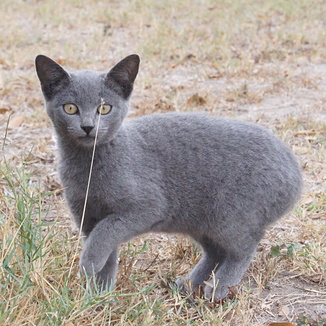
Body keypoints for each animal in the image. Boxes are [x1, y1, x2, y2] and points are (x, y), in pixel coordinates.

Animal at [34, 54, 302, 300]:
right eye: (70, 108)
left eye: (104, 108)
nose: (88, 127)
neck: (88, 167)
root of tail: (295, 172)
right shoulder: (86, 215)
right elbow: (106, 249)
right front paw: (98, 295)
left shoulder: (148, 206)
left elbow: (106, 232)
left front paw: (89, 263)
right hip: (200, 219)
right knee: (216, 252)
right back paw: (189, 285)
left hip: (230, 214)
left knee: (244, 248)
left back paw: (218, 288)